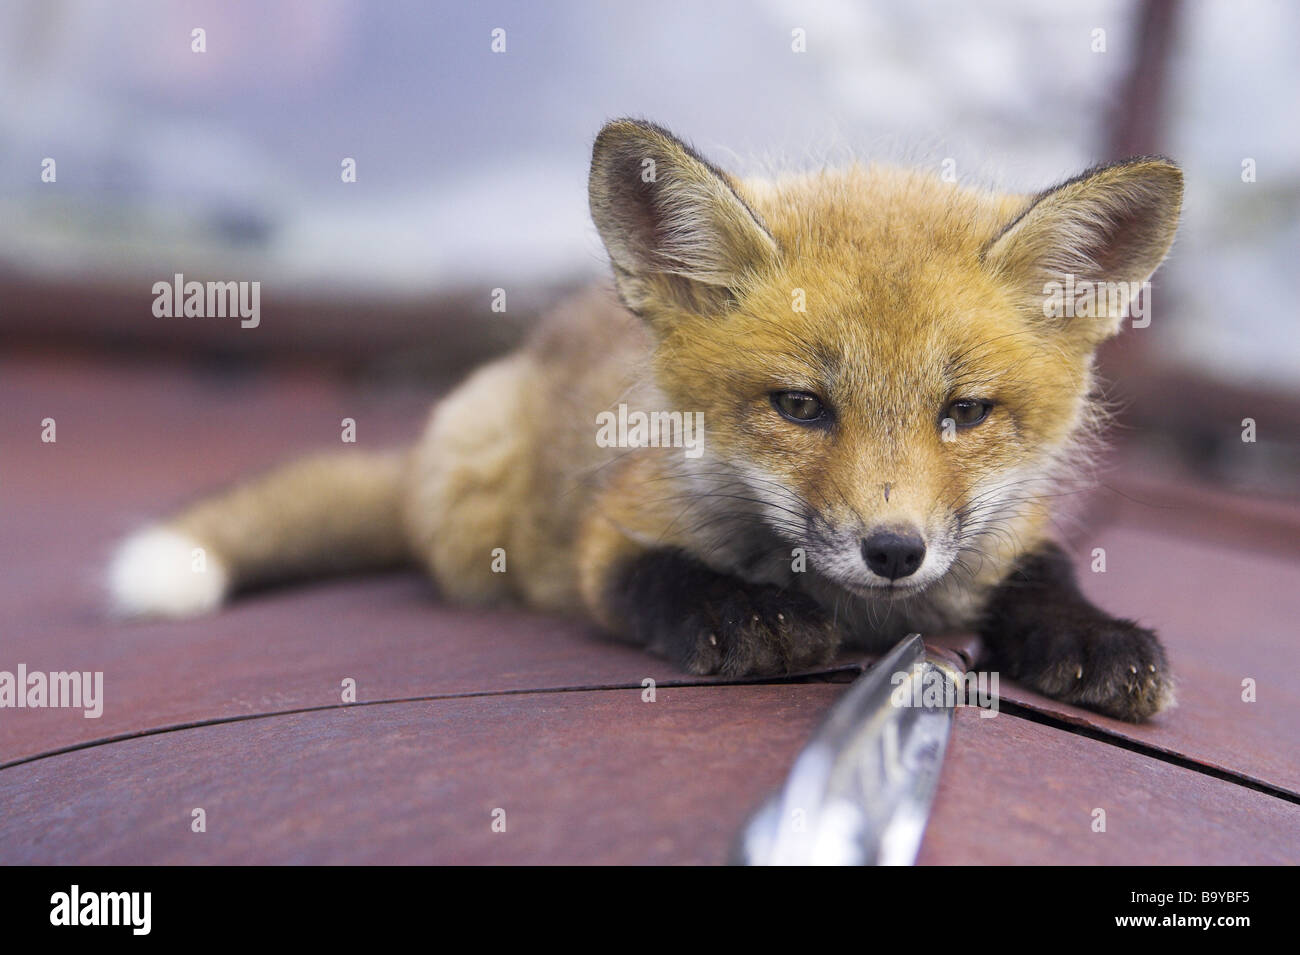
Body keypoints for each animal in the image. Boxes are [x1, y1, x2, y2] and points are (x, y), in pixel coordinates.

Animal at [109, 119, 1183, 722]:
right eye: (800, 406)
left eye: (965, 412)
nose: (894, 550)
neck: (870, 613)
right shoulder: (613, 532)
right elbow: (663, 575)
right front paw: (747, 615)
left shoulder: (1007, 535)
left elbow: (1042, 574)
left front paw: (1093, 638)